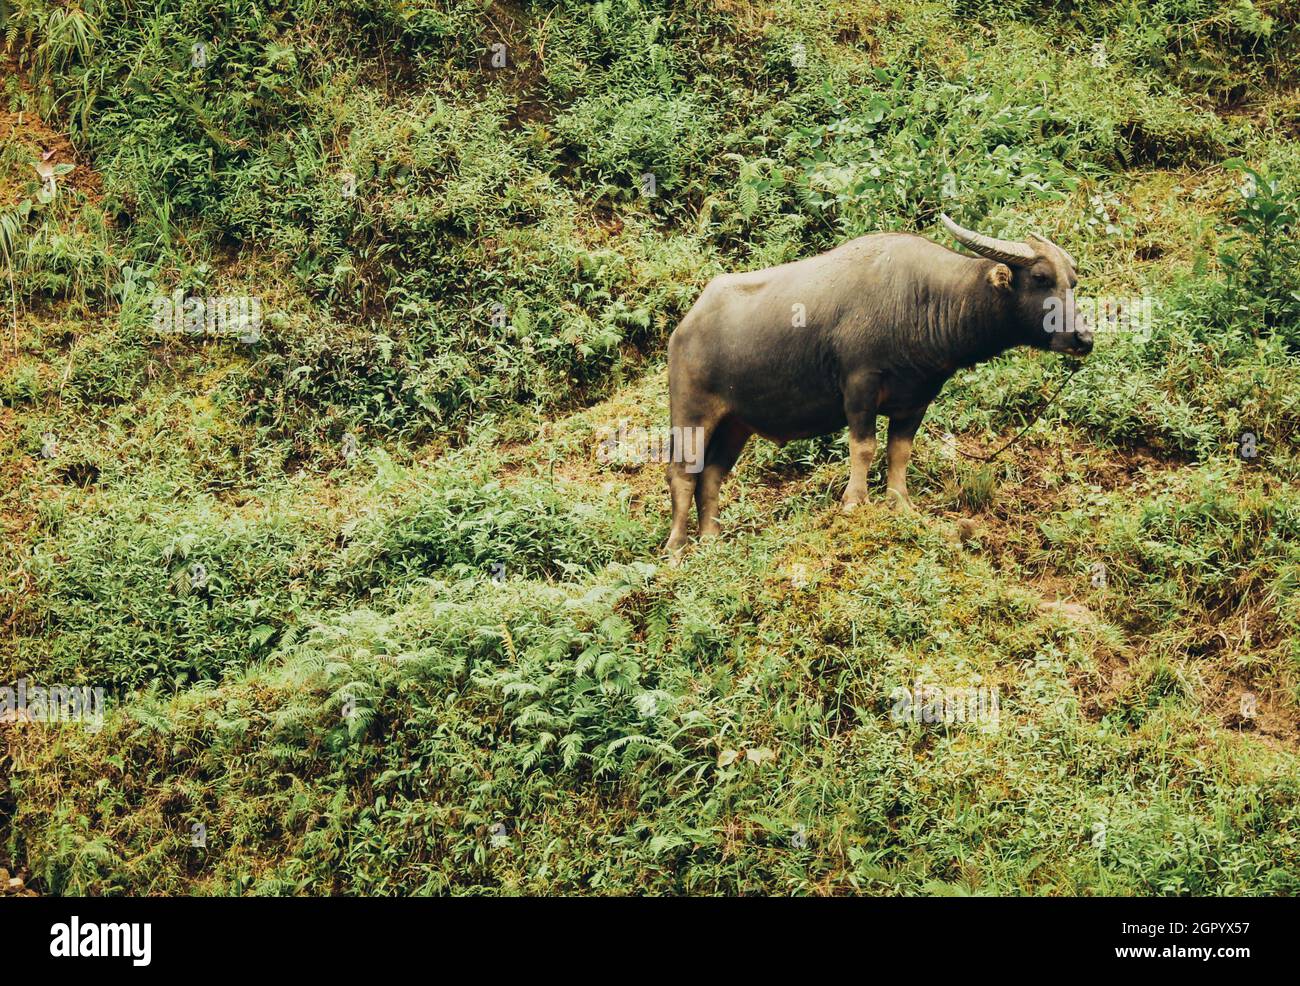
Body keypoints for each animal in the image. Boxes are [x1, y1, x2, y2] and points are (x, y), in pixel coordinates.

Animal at [664, 214, 1091, 555]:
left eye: (1072, 281)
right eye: (1040, 278)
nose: (1084, 338)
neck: (920, 300)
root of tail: (685, 326)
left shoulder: (916, 399)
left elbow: (899, 451)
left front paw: (900, 503)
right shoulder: (860, 386)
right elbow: (864, 447)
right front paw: (855, 501)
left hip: (736, 423)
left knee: (711, 475)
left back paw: (711, 540)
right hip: (691, 413)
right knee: (682, 475)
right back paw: (675, 549)